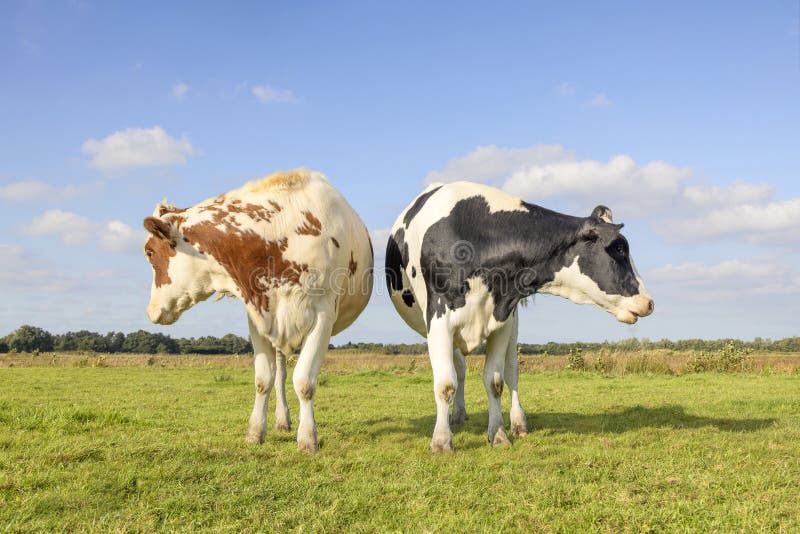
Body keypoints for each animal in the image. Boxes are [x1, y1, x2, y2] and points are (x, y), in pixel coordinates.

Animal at [142, 169, 373, 453]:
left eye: (149, 252)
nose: (151, 311)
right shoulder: (259, 316)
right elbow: (264, 379)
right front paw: (255, 432)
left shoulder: (322, 316)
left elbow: (304, 382)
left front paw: (308, 438)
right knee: (280, 374)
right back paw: (282, 420)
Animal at [385, 181, 654, 452]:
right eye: (619, 249)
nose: (649, 303)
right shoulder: (439, 319)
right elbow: (445, 383)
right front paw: (441, 441)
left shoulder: (501, 319)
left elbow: (495, 381)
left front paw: (499, 434)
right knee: (459, 368)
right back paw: (458, 415)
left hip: (512, 323)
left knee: (510, 371)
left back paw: (515, 422)